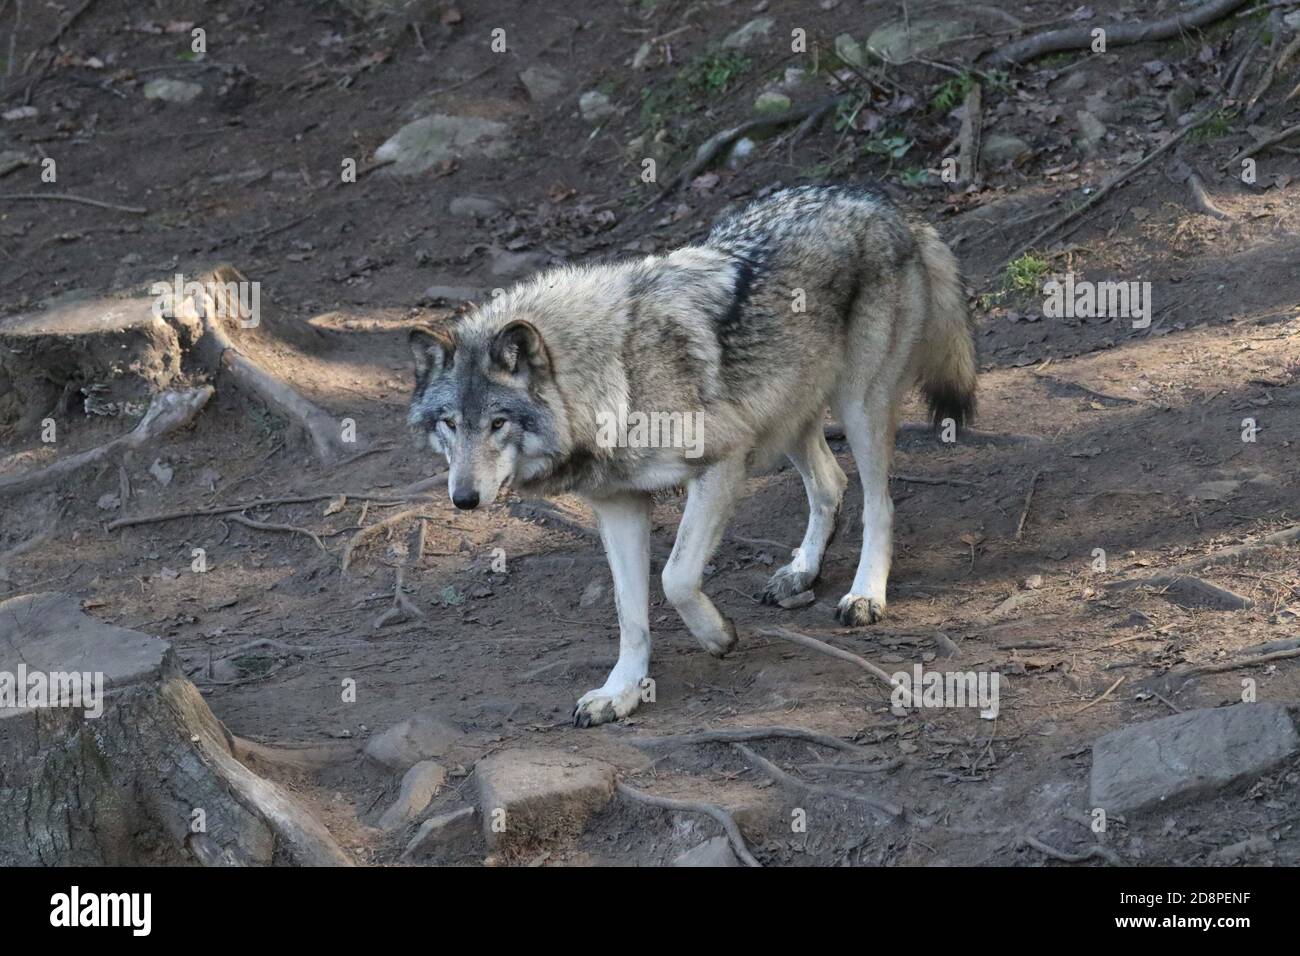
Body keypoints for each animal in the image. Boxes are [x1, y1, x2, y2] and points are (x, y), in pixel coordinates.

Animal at [408, 185, 976, 727]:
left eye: (497, 423)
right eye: (450, 424)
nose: (463, 499)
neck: (618, 376)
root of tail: (884, 201)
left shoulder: (722, 464)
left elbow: (675, 578)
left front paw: (717, 635)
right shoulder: (618, 506)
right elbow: (630, 615)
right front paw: (622, 692)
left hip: (857, 406)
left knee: (879, 503)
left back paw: (865, 595)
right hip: (782, 414)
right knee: (830, 484)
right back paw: (801, 572)